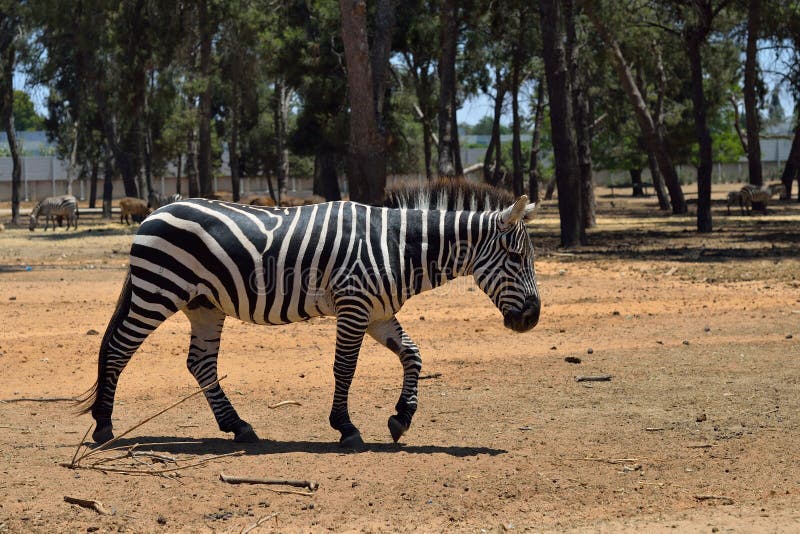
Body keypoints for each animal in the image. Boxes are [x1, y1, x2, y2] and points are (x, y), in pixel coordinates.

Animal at [79, 181, 541, 449]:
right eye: (517, 257)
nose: (533, 319)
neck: (396, 247)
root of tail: (155, 211)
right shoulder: (354, 304)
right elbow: (345, 368)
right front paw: (346, 428)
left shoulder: (378, 312)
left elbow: (413, 355)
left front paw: (401, 417)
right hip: (157, 292)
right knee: (118, 349)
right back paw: (103, 426)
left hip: (203, 305)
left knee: (200, 363)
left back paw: (239, 427)